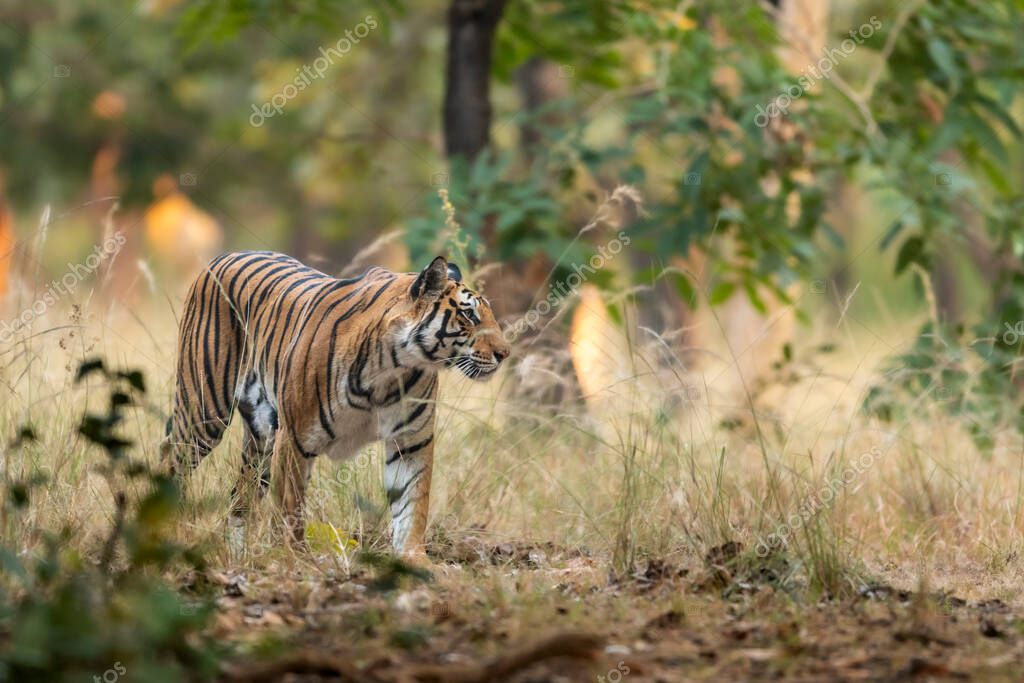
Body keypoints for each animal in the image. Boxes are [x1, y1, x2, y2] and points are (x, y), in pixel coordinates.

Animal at [162, 251, 509, 560]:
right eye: (469, 315)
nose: (505, 353)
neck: (393, 367)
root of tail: (223, 256)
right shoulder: (296, 438)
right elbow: (291, 506)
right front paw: (295, 559)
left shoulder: (411, 442)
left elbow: (412, 505)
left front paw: (415, 560)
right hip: (204, 413)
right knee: (172, 460)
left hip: (261, 435)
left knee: (241, 496)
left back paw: (238, 556)